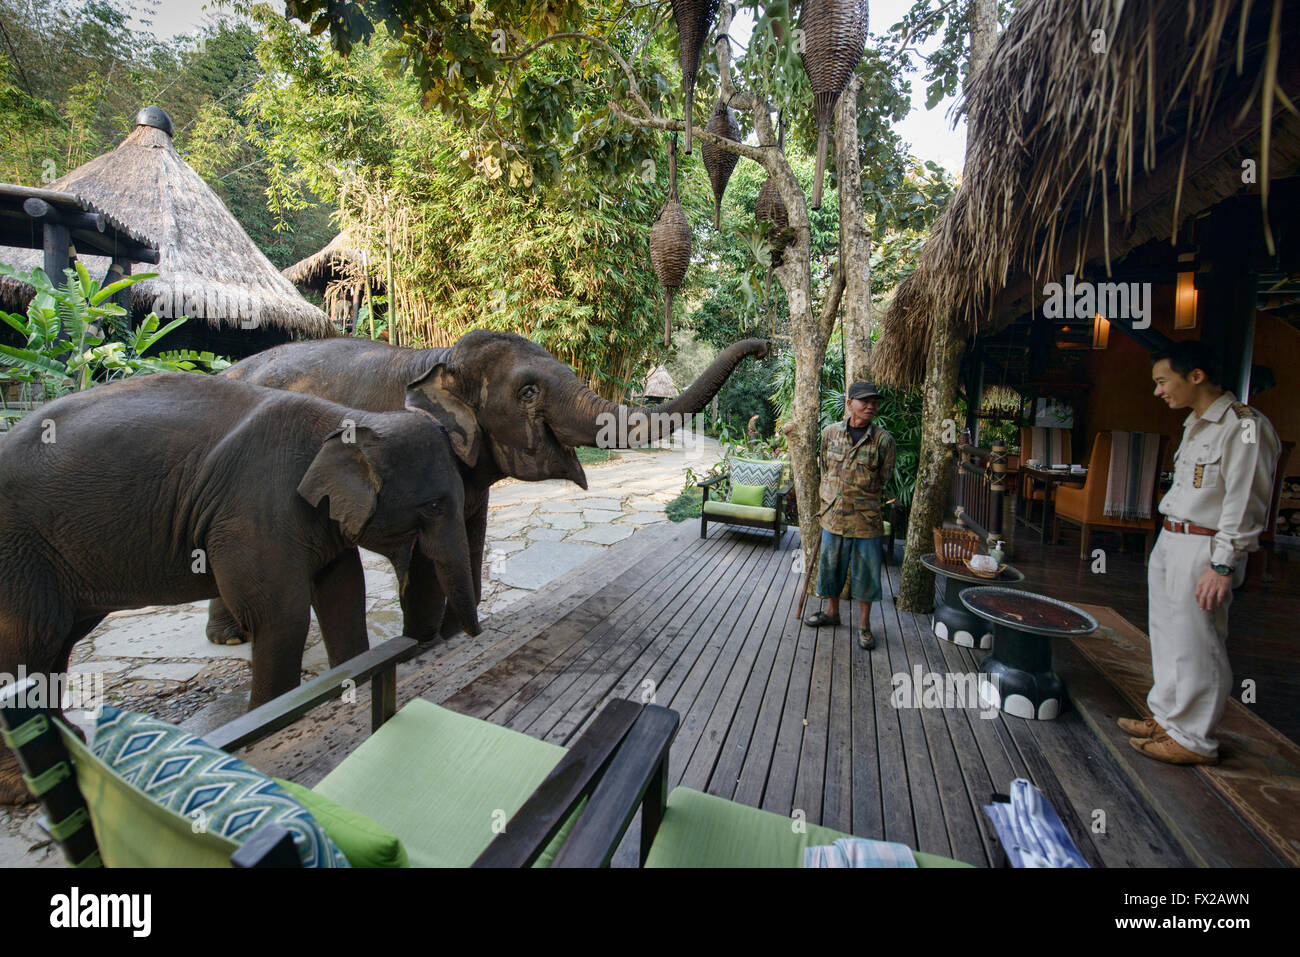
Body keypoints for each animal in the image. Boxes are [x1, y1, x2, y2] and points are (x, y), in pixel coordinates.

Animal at [0, 372, 479, 804]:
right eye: (434, 506)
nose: (469, 637)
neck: (348, 419)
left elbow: (343, 590)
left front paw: (350, 683)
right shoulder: (257, 509)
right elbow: (281, 612)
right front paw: (267, 723)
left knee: (58, 642)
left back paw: (69, 740)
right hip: (18, 551)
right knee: (29, 639)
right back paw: (24, 789)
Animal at [205, 330, 768, 646]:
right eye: (528, 392)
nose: (765, 347)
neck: (438, 358)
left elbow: (471, 535)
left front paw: (453, 632)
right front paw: (423, 642)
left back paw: (233, 636)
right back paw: (233, 638)